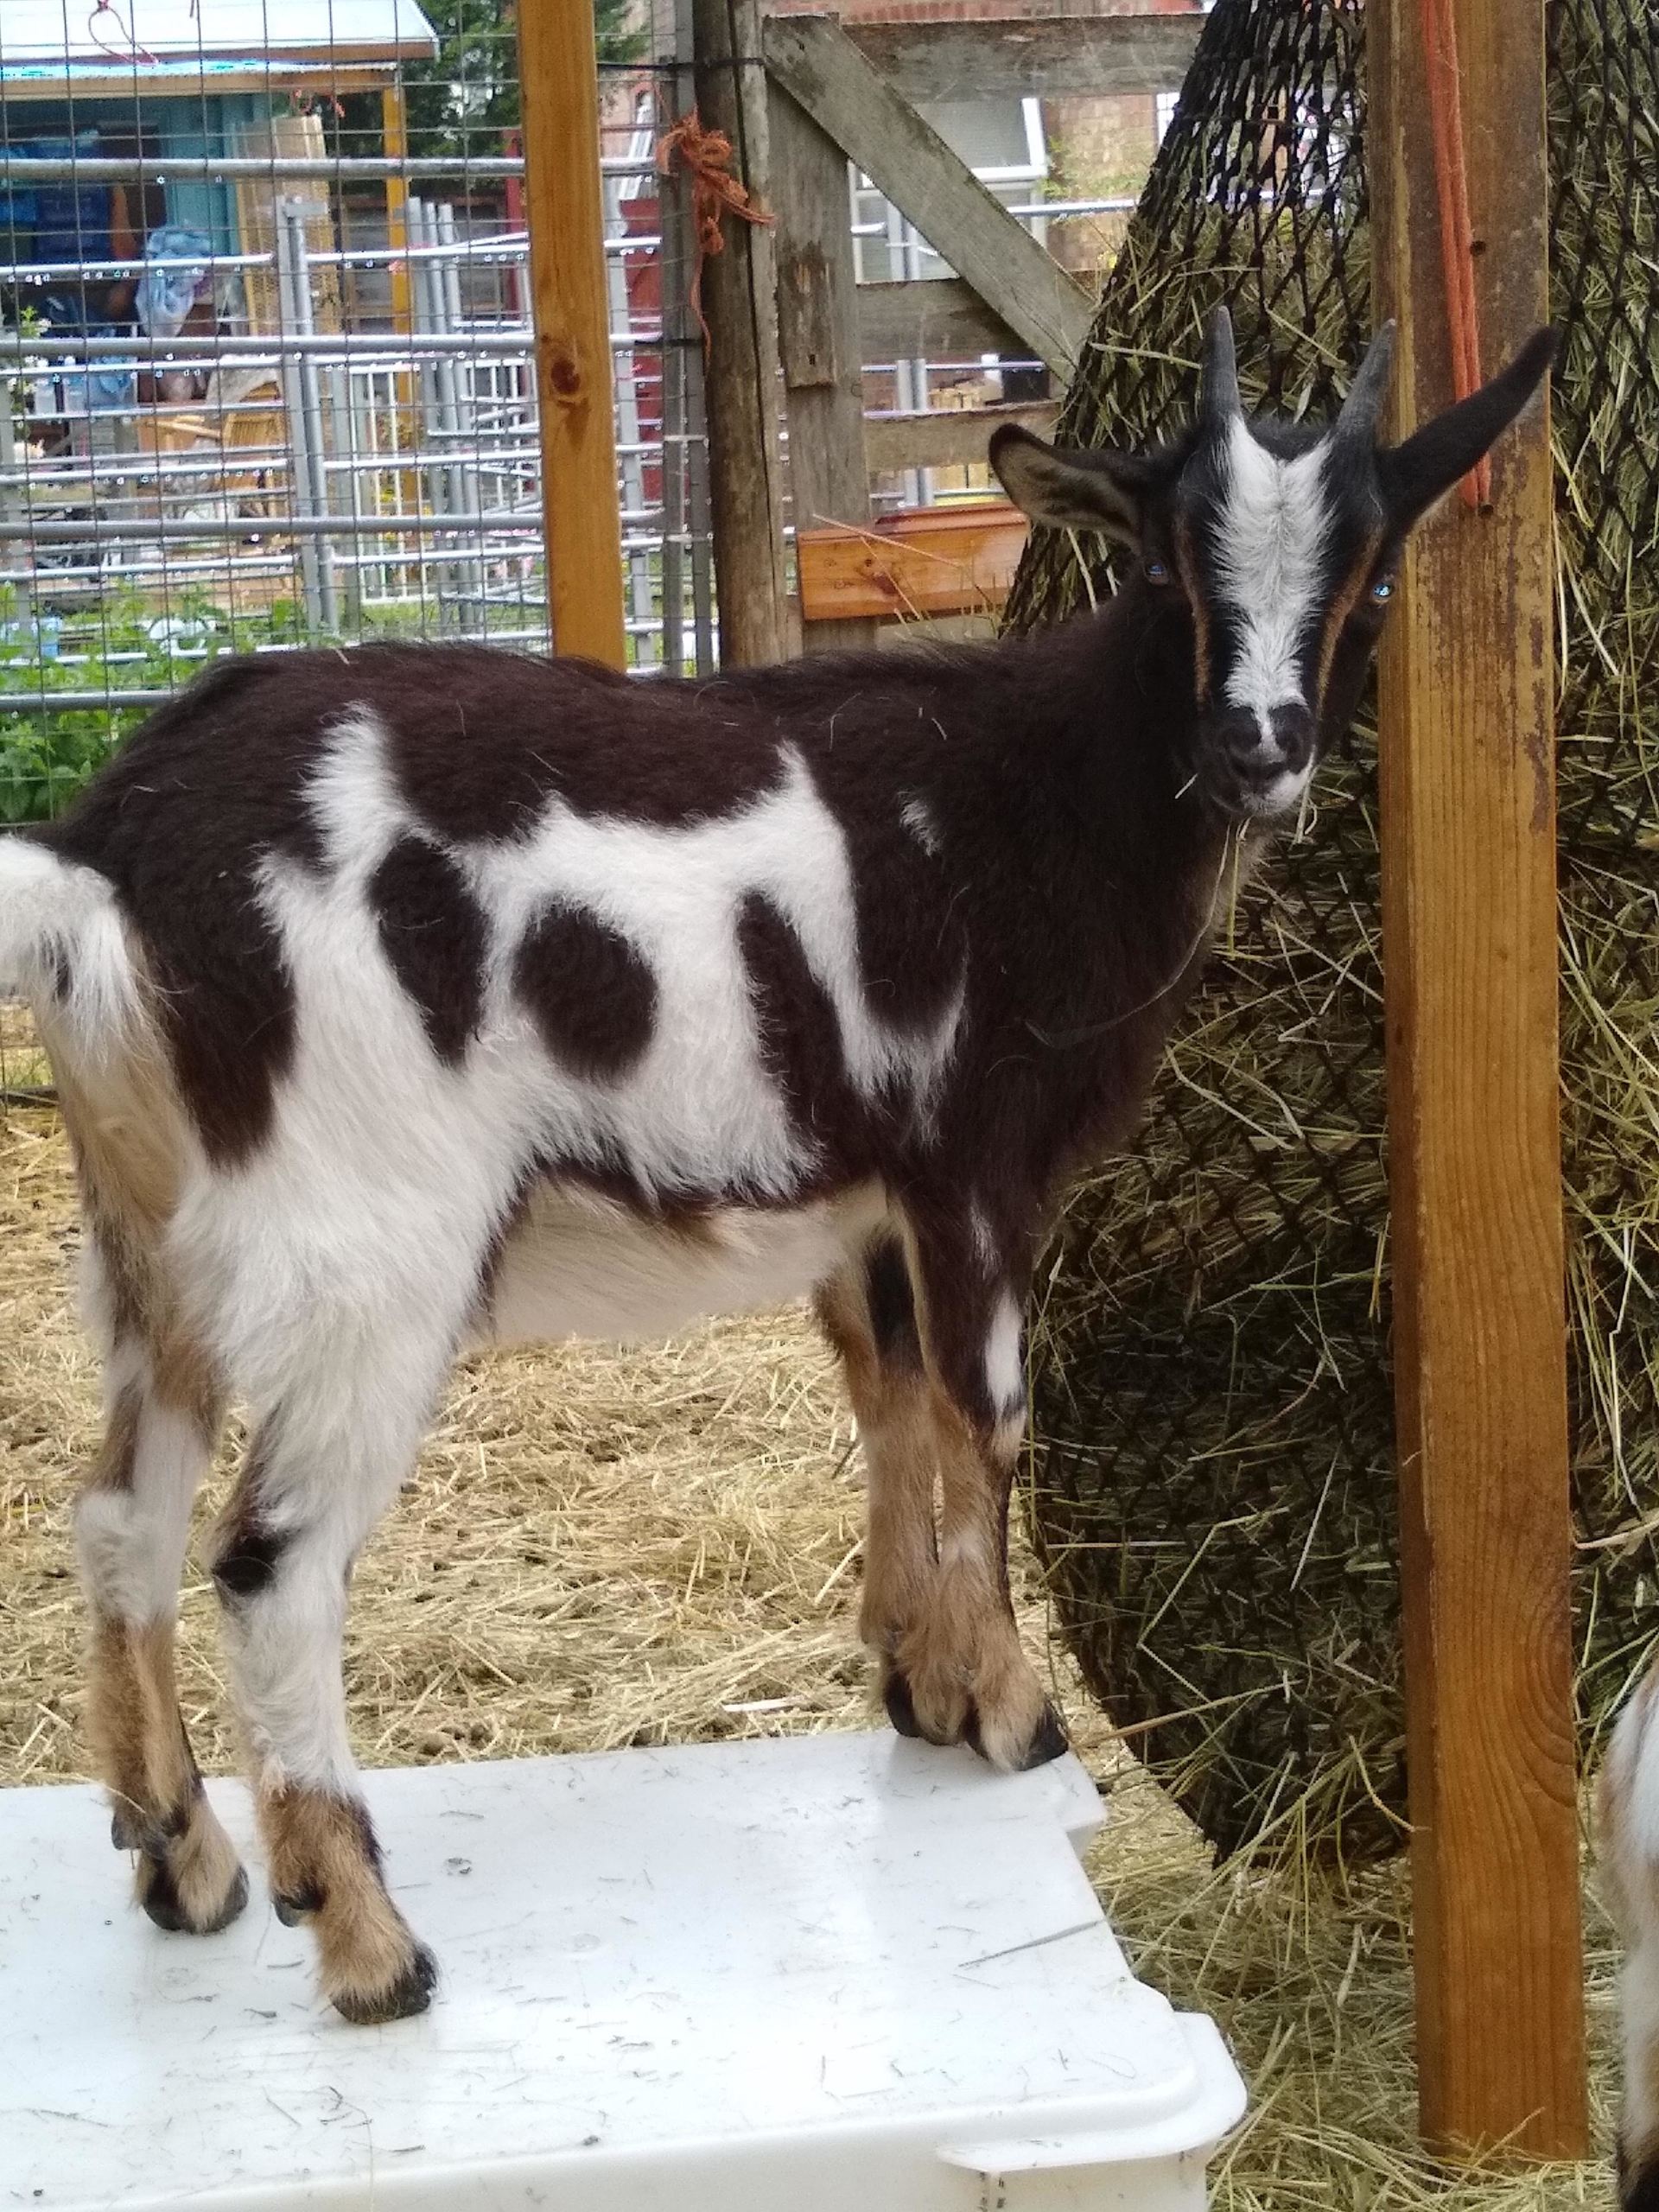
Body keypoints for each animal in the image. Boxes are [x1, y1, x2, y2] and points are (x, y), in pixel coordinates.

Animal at [0, 312, 1554, 2025]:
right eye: (1166, 563)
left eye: (1374, 575)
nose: (1256, 751)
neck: (1027, 797)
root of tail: (107, 865)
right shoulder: (969, 1163)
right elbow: (986, 1419)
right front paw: (1014, 1713)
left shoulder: (864, 1205)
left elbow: (893, 1405)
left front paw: (919, 1678)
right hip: (366, 1251)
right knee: (269, 1565)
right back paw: (366, 1944)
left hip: (154, 1247)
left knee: (118, 1519)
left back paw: (182, 1861)